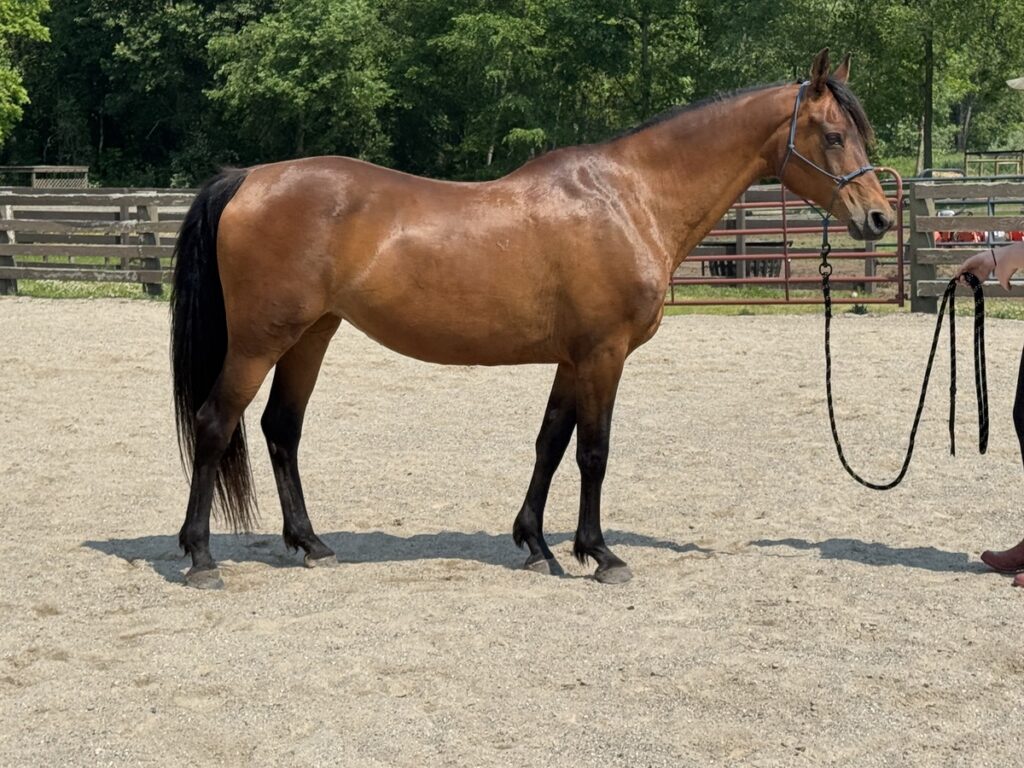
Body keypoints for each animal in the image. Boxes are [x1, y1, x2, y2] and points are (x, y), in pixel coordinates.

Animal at [170, 48, 893, 589]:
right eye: (833, 135)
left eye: (861, 132)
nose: (879, 218)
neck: (627, 197)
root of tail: (247, 178)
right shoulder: (604, 354)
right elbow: (594, 451)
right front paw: (600, 554)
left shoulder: (573, 358)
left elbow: (550, 443)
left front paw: (537, 545)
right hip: (260, 342)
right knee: (215, 423)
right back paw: (201, 556)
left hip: (310, 335)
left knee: (280, 429)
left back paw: (312, 544)